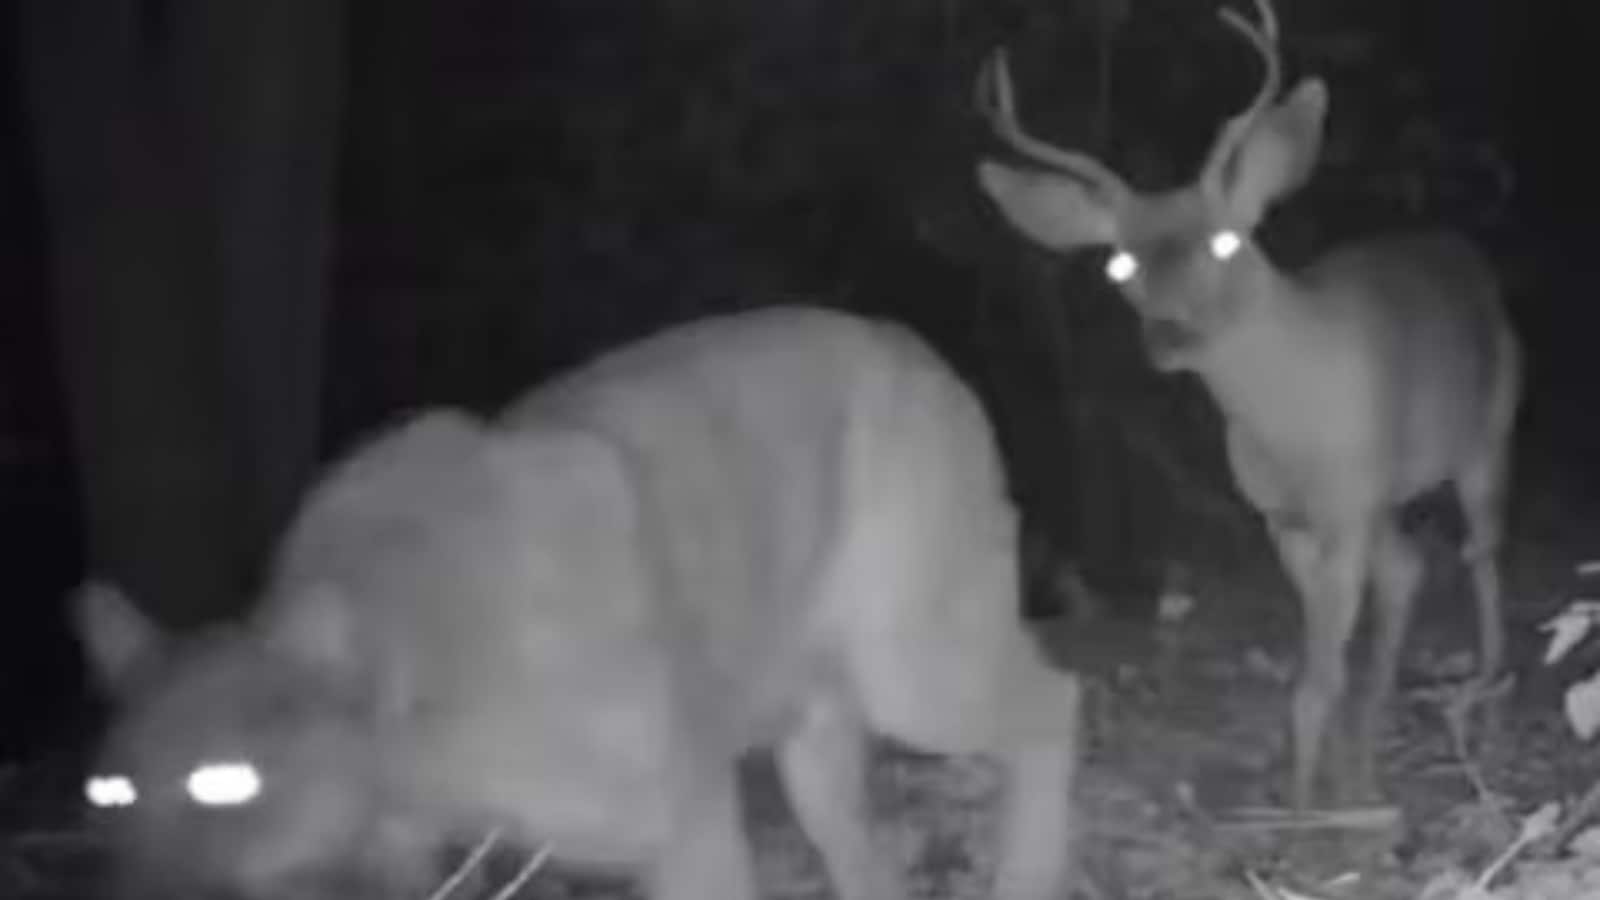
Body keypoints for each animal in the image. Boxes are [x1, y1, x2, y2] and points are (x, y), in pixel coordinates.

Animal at [973, 0, 1521, 809]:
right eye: (1120, 262)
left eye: (1228, 241)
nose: (1170, 333)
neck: (1290, 420)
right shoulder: (1286, 513)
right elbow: (1317, 673)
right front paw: (1315, 787)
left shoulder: (1345, 503)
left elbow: (1316, 678)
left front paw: (1307, 814)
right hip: (1384, 494)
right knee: (1410, 566)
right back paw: (1375, 738)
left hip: (1488, 432)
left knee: (1481, 553)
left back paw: (1486, 698)